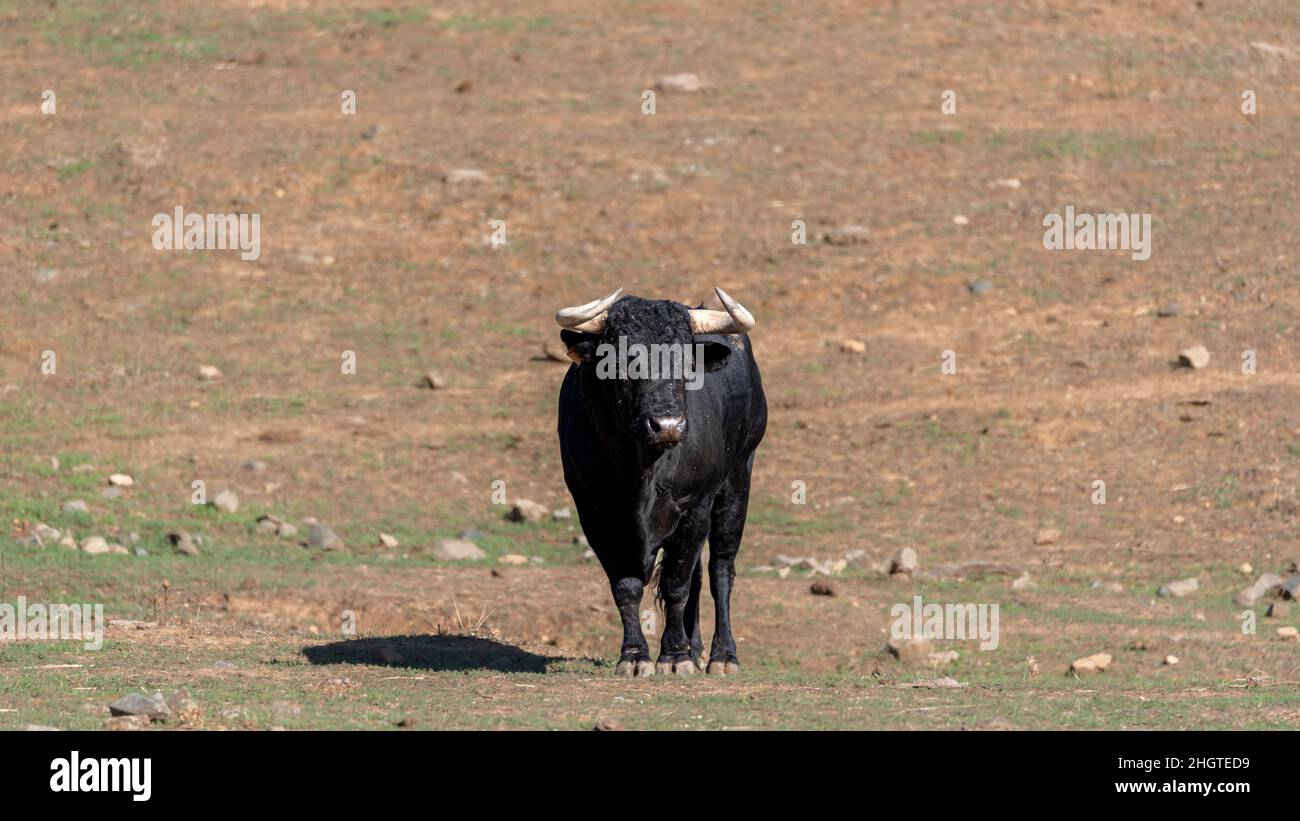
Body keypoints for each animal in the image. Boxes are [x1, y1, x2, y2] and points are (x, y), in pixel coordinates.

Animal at [555, 287, 767, 676]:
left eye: (687, 362)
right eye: (620, 359)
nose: (668, 425)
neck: (644, 469)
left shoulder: (696, 505)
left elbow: (675, 583)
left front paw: (674, 657)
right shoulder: (594, 511)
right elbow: (626, 586)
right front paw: (635, 656)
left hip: (737, 482)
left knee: (719, 570)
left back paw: (722, 656)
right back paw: (695, 648)